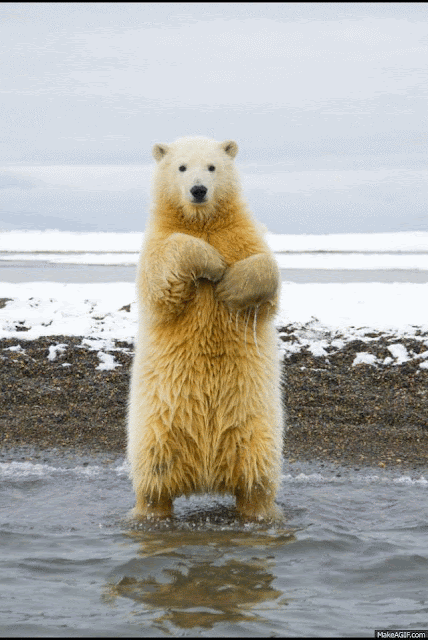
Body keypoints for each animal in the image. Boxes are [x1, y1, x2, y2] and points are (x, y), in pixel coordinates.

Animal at [127, 136, 283, 521]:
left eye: (212, 166)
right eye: (181, 167)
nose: (198, 190)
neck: (202, 221)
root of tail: (206, 477)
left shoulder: (240, 233)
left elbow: (266, 269)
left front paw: (230, 286)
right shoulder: (158, 240)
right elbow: (161, 279)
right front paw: (211, 263)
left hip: (254, 428)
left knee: (257, 477)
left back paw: (261, 512)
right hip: (155, 429)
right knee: (153, 479)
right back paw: (149, 511)